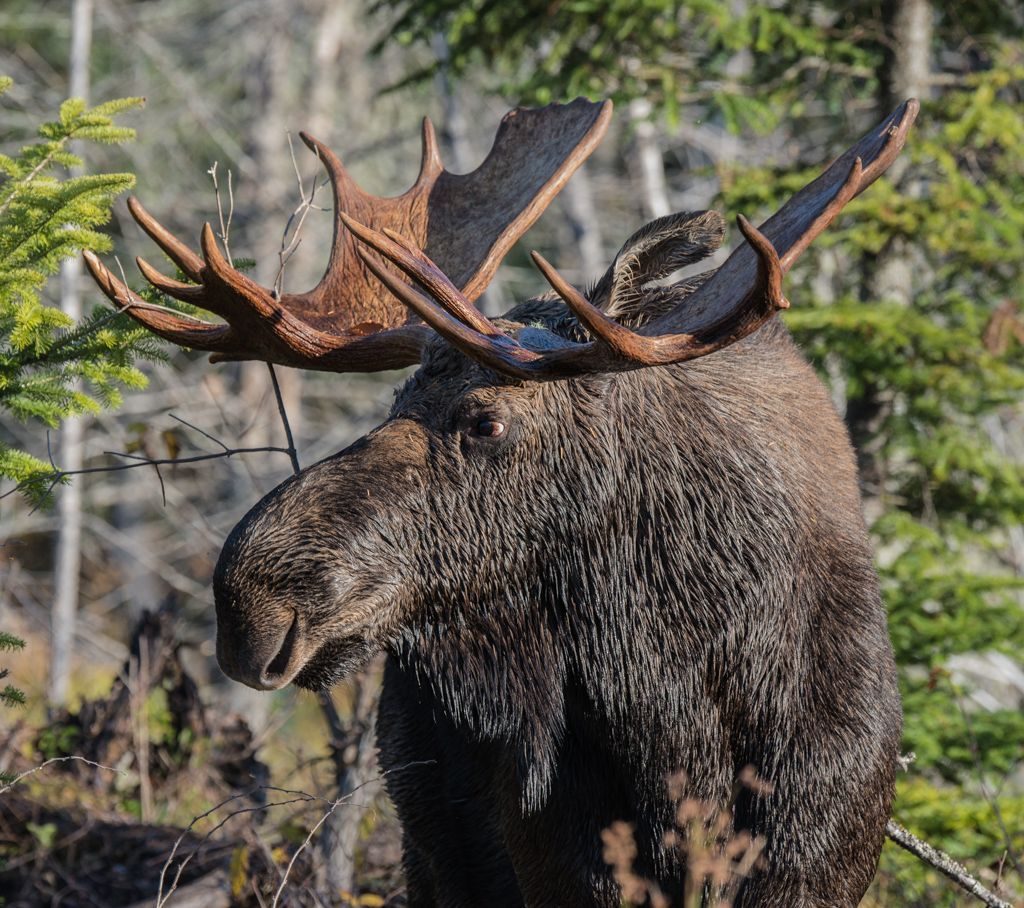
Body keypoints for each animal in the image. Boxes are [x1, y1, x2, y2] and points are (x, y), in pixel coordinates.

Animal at [85, 96, 918, 906]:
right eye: (394, 401)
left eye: (486, 420)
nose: (248, 601)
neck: (689, 714)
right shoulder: (560, 860)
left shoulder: (818, 862)